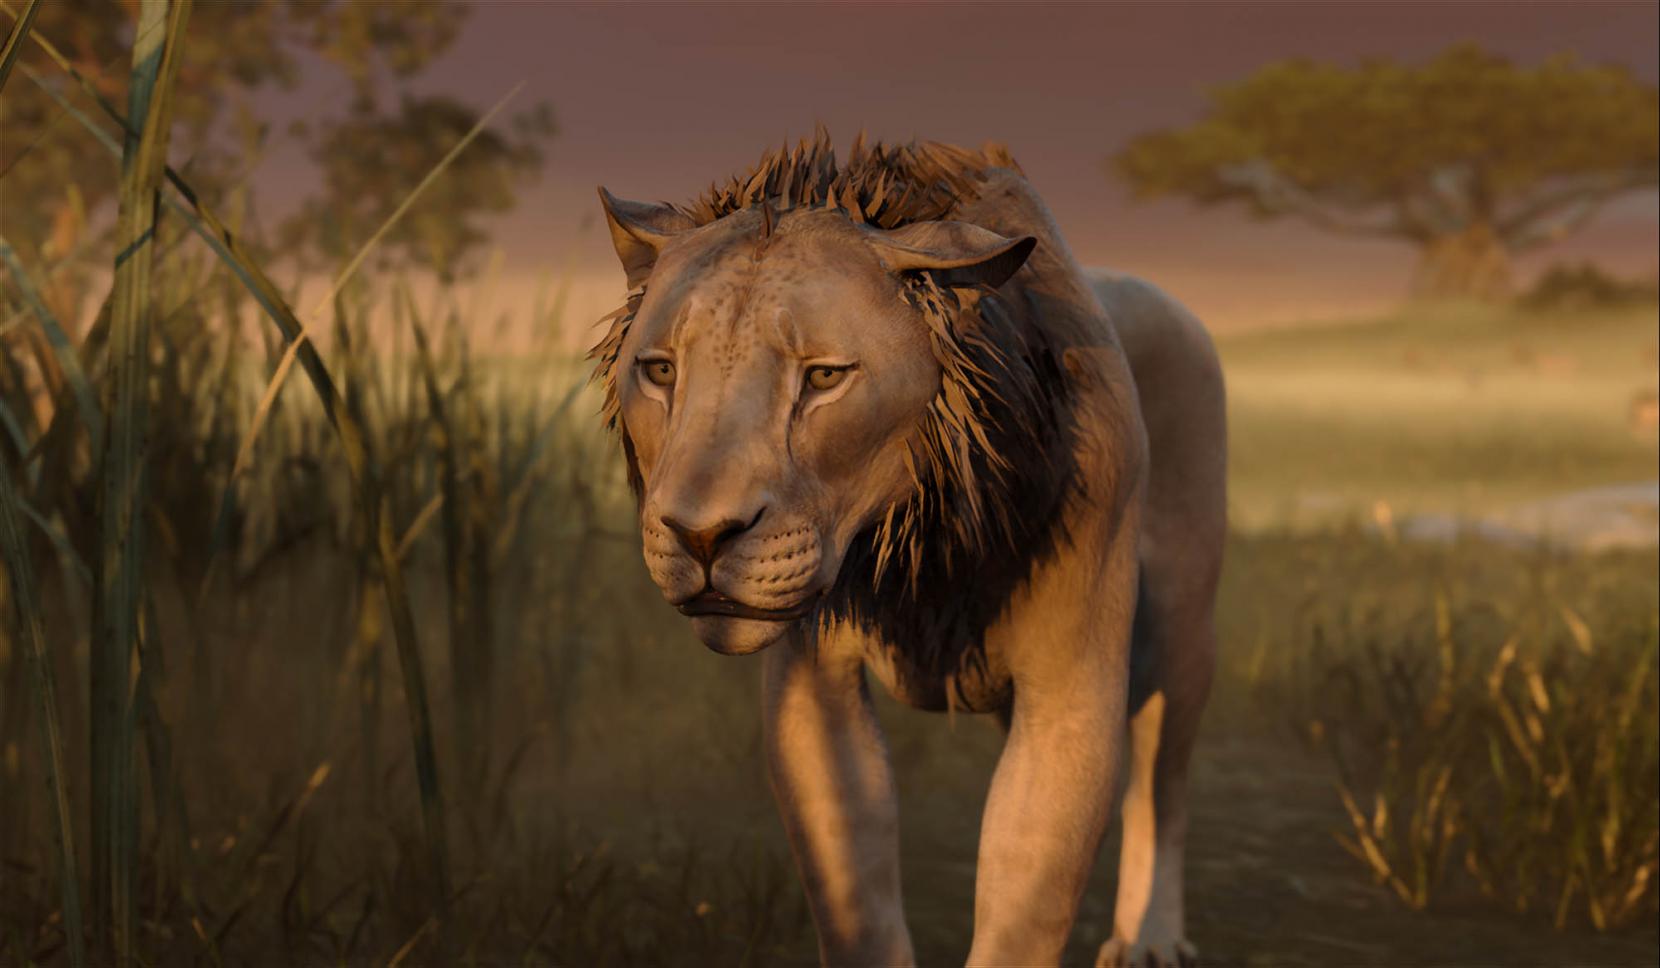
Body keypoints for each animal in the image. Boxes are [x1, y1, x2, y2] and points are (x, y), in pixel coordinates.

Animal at [591, 132, 1225, 967]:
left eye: (825, 377)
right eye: (661, 371)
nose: (701, 534)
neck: (920, 543)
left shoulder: (1070, 689)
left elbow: (1029, 896)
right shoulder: (812, 686)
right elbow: (854, 891)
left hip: (1177, 635)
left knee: (1165, 782)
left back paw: (1148, 939)